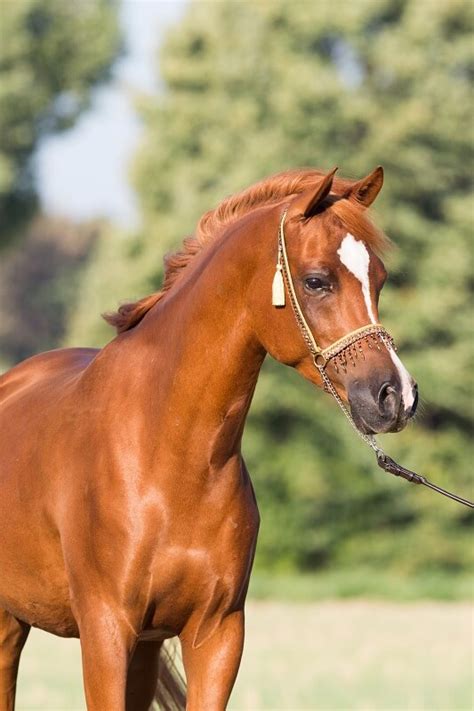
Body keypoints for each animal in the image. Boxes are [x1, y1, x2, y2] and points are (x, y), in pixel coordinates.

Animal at [0, 166, 418, 710]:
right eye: (316, 281)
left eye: (380, 279)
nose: (396, 396)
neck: (170, 456)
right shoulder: (105, 631)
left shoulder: (216, 634)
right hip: (11, 626)